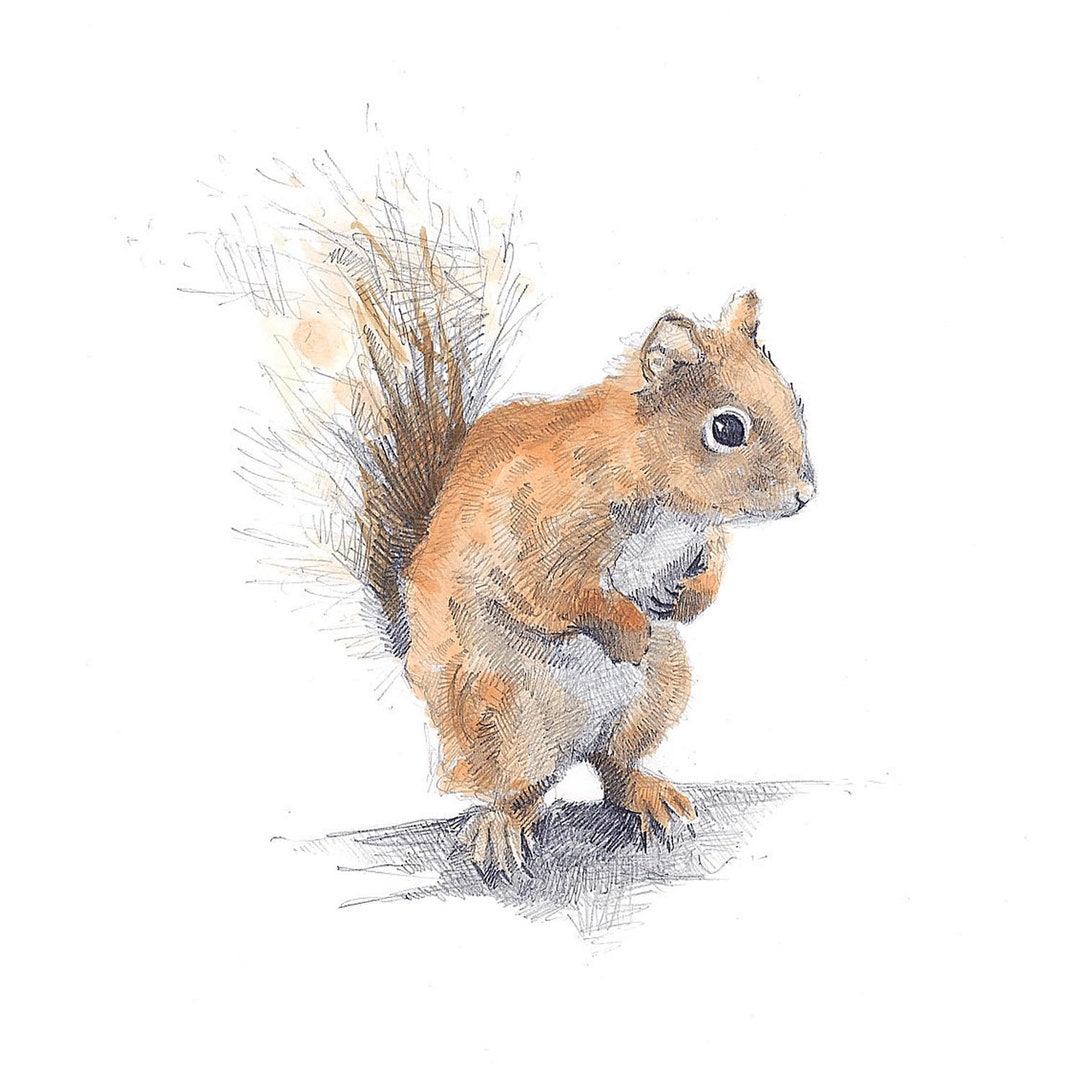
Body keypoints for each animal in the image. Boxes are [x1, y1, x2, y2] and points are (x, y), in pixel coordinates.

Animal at [219, 158, 814, 871]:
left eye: (795, 399)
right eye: (726, 428)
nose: (805, 495)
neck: (660, 492)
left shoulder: (701, 536)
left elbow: (711, 566)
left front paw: (692, 595)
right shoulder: (538, 528)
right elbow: (561, 593)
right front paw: (627, 628)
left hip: (659, 690)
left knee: (612, 762)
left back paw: (647, 793)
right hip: (502, 714)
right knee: (517, 787)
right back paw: (502, 826)